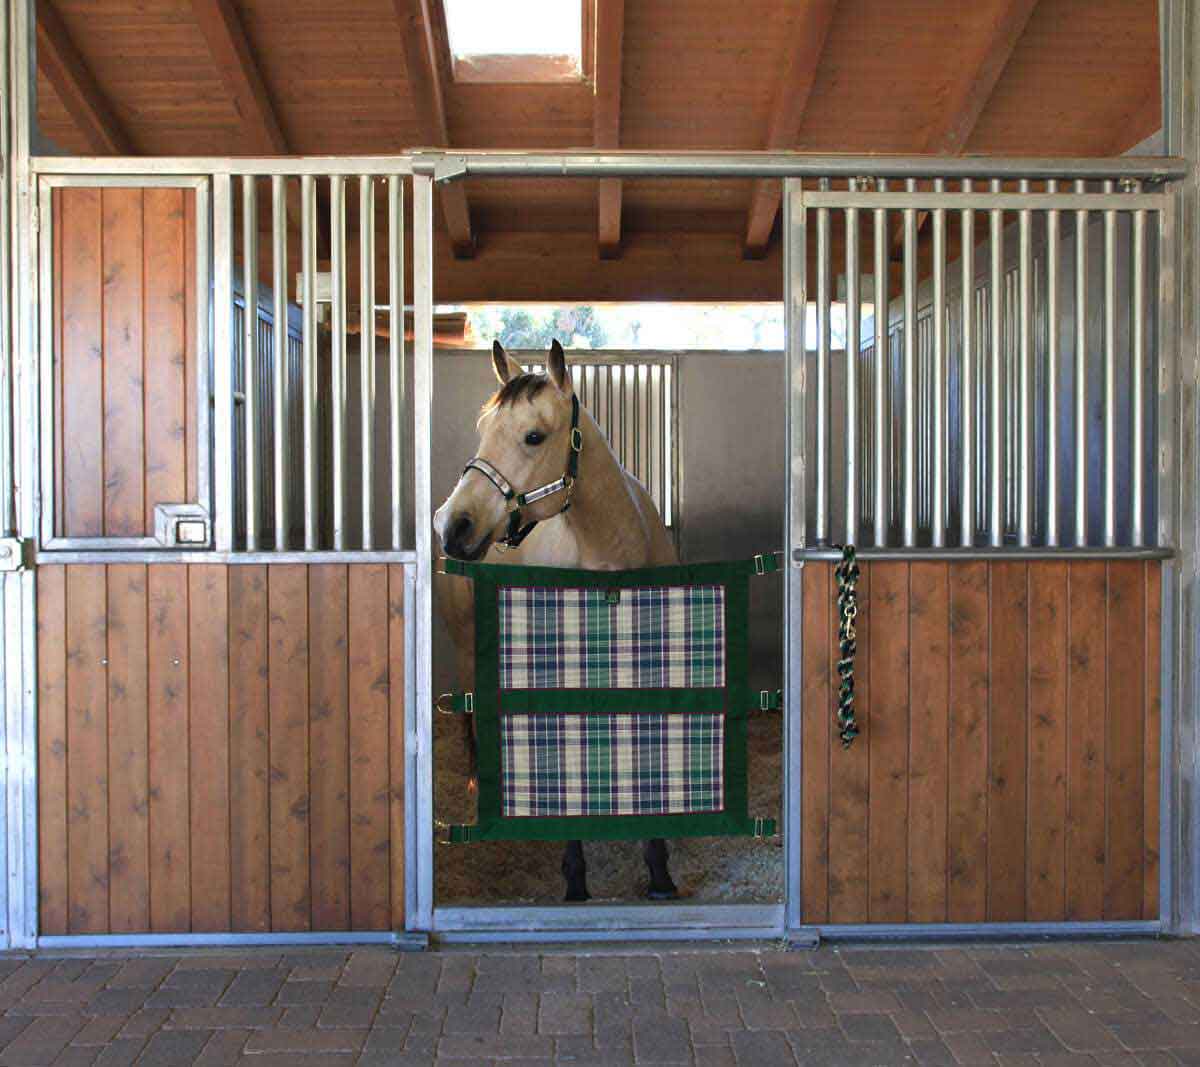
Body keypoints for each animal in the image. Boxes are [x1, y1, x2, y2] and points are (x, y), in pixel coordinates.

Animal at [433, 338, 680, 902]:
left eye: (533, 435)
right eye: (483, 427)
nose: (453, 526)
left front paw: (659, 871)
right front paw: (575, 877)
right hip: (468, 644)